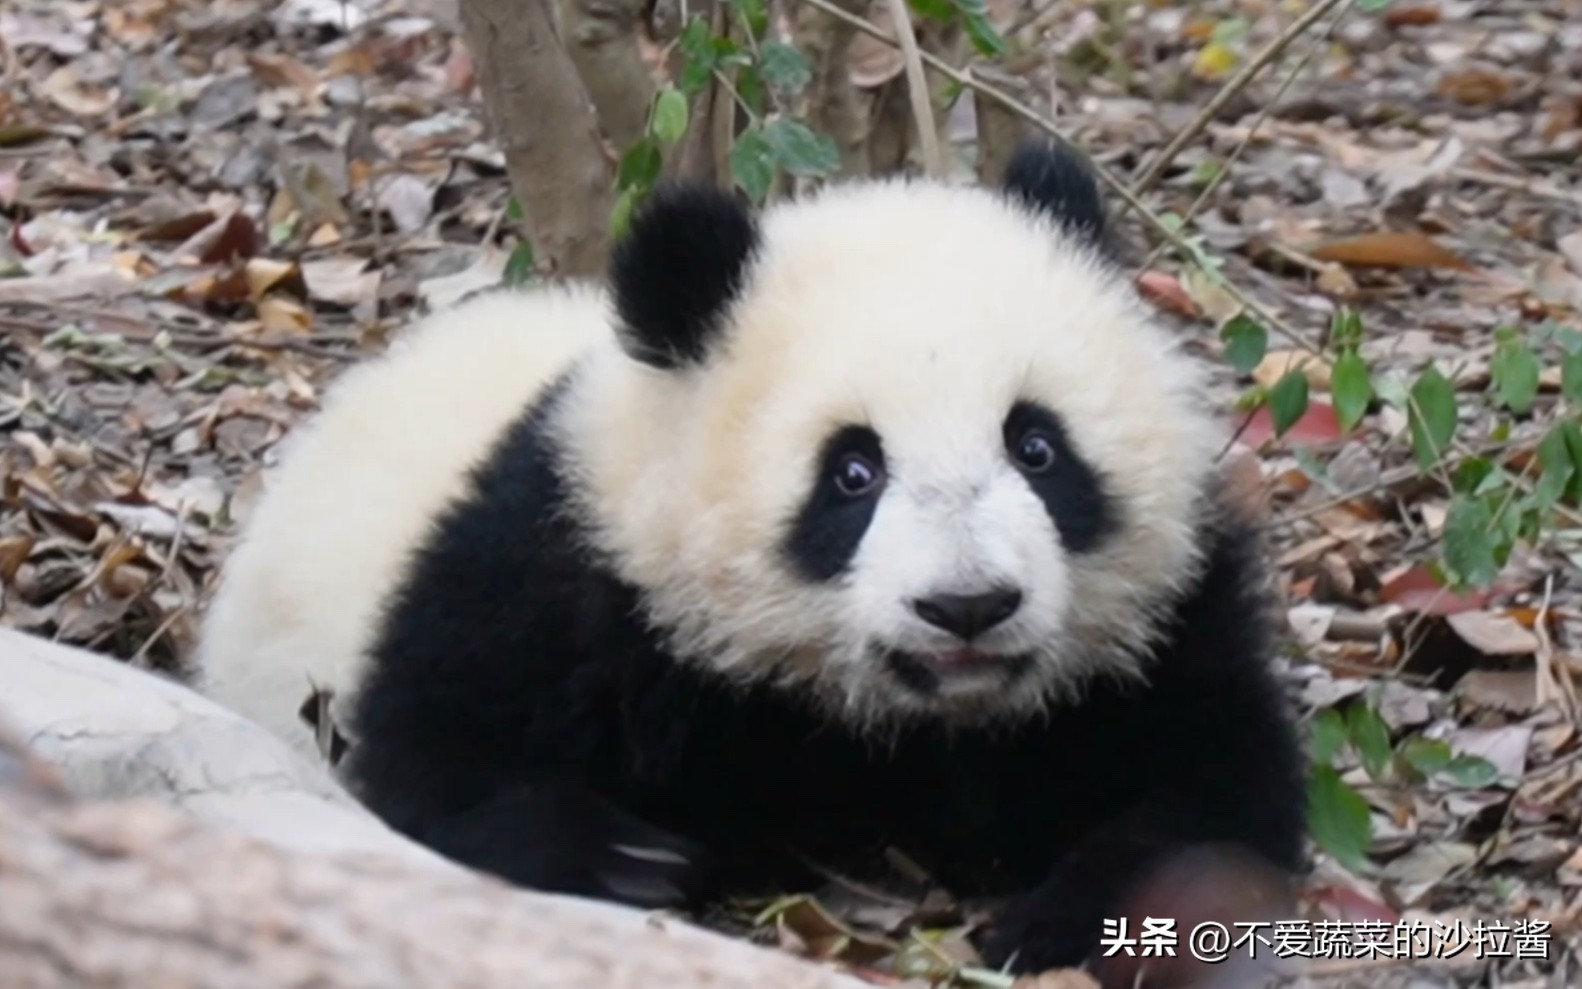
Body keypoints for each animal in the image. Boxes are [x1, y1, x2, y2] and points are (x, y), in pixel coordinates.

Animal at [196, 138, 1307, 975]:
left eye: (1036, 445)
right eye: (852, 471)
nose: (967, 605)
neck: (910, 722)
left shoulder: (1161, 615)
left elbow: (1215, 791)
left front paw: (1073, 915)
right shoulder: (560, 566)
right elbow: (432, 762)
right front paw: (622, 853)